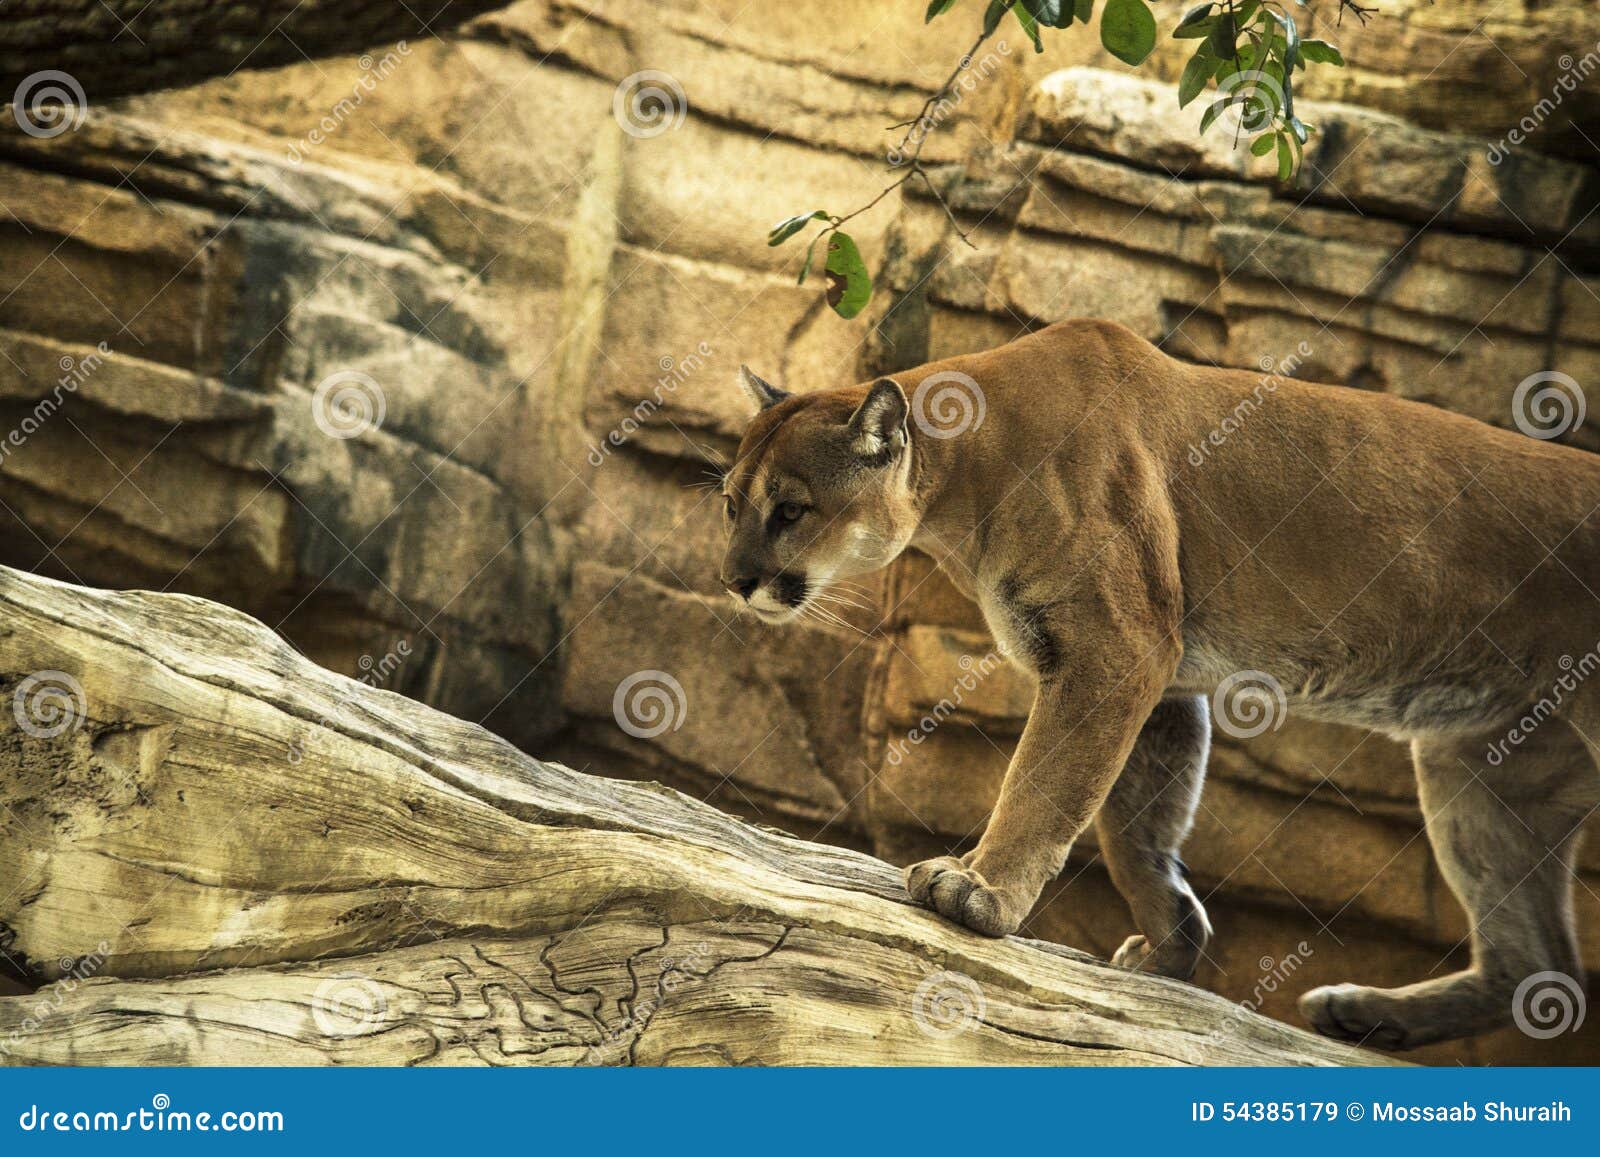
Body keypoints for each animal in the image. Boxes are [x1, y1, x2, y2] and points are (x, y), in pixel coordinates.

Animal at [718, 318, 1600, 1050]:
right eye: (730, 503)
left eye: (791, 510)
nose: (734, 581)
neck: (969, 472)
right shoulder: (1163, 681)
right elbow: (1131, 824)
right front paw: (1173, 939)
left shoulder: (1121, 646)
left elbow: (1045, 782)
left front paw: (979, 891)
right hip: (1482, 767)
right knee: (1540, 968)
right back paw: (1365, 1013)